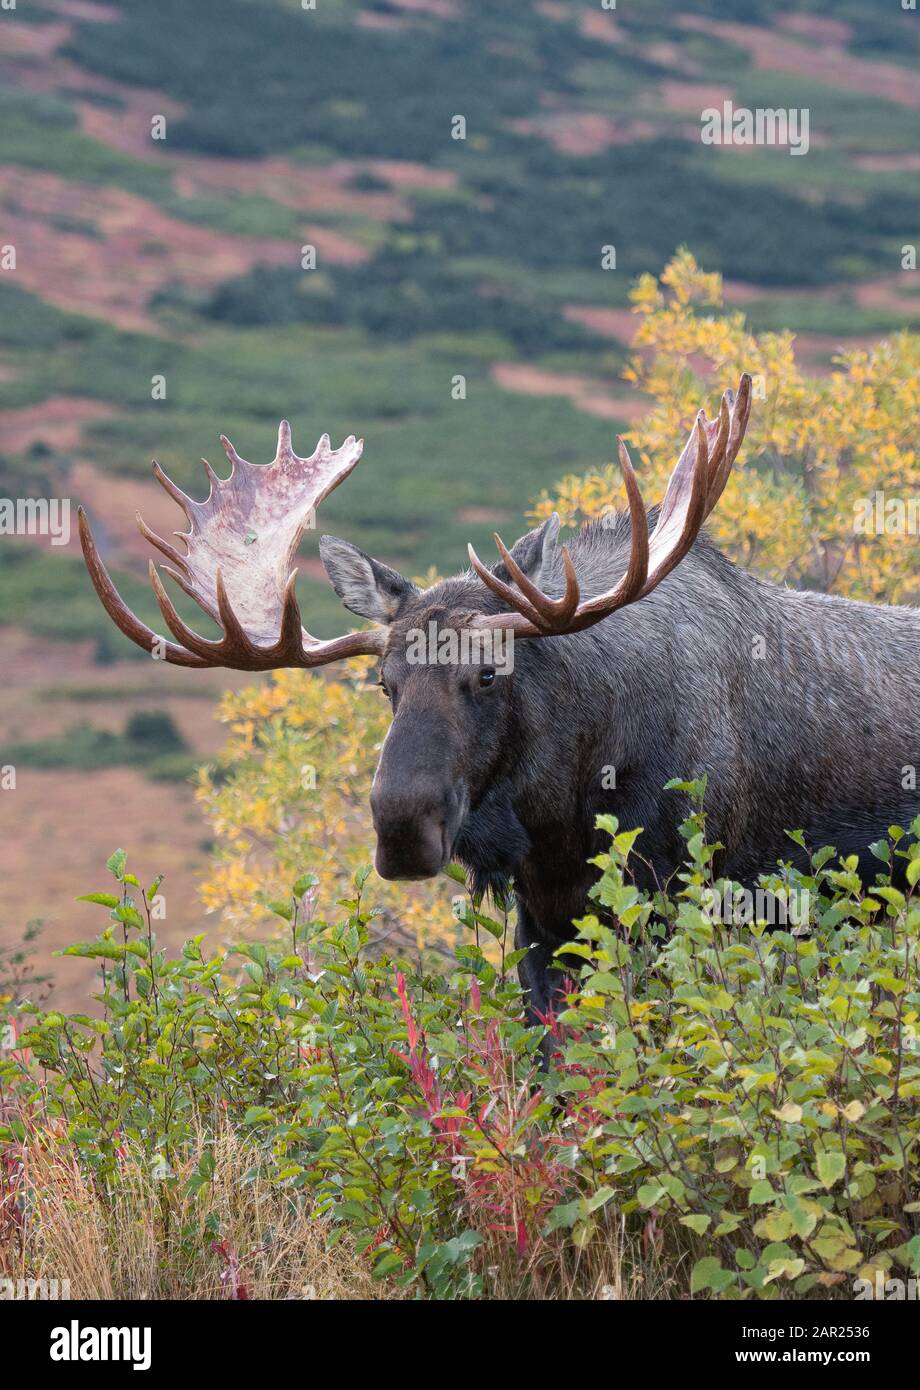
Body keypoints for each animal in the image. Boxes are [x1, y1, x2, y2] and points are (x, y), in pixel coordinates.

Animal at [78, 376, 920, 1038]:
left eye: (488, 674)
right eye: (383, 682)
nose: (401, 827)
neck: (565, 811)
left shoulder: (683, 901)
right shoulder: (542, 925)